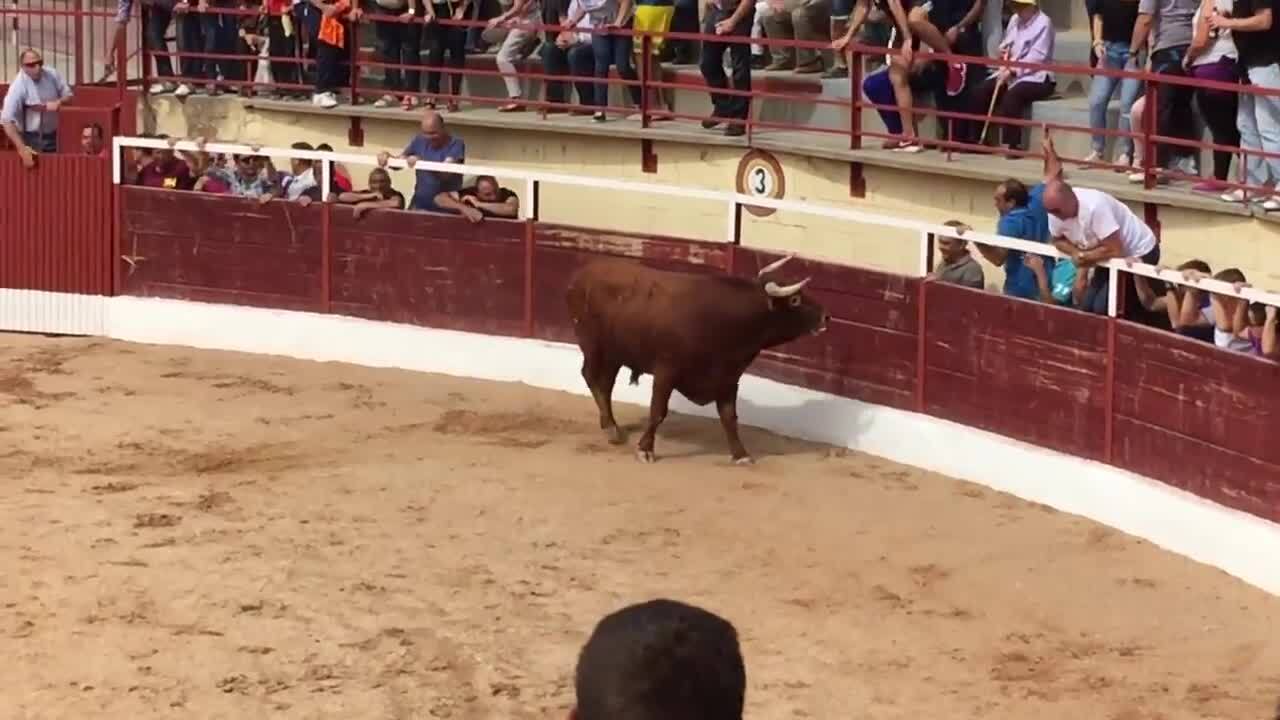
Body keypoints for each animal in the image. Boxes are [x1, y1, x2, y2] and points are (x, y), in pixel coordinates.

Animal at [565, 253, 829, 464]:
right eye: (795, 300)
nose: (826, 317)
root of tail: (582, 274)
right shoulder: (666, 372)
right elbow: (657, 411)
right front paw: (645, 450)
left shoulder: (728, 378)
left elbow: (729, 417)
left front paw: (741, 454)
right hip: (594, 345)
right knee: (592, 377)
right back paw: (612, 429)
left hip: (615, 353)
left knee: (605, 384)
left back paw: (610, 427)